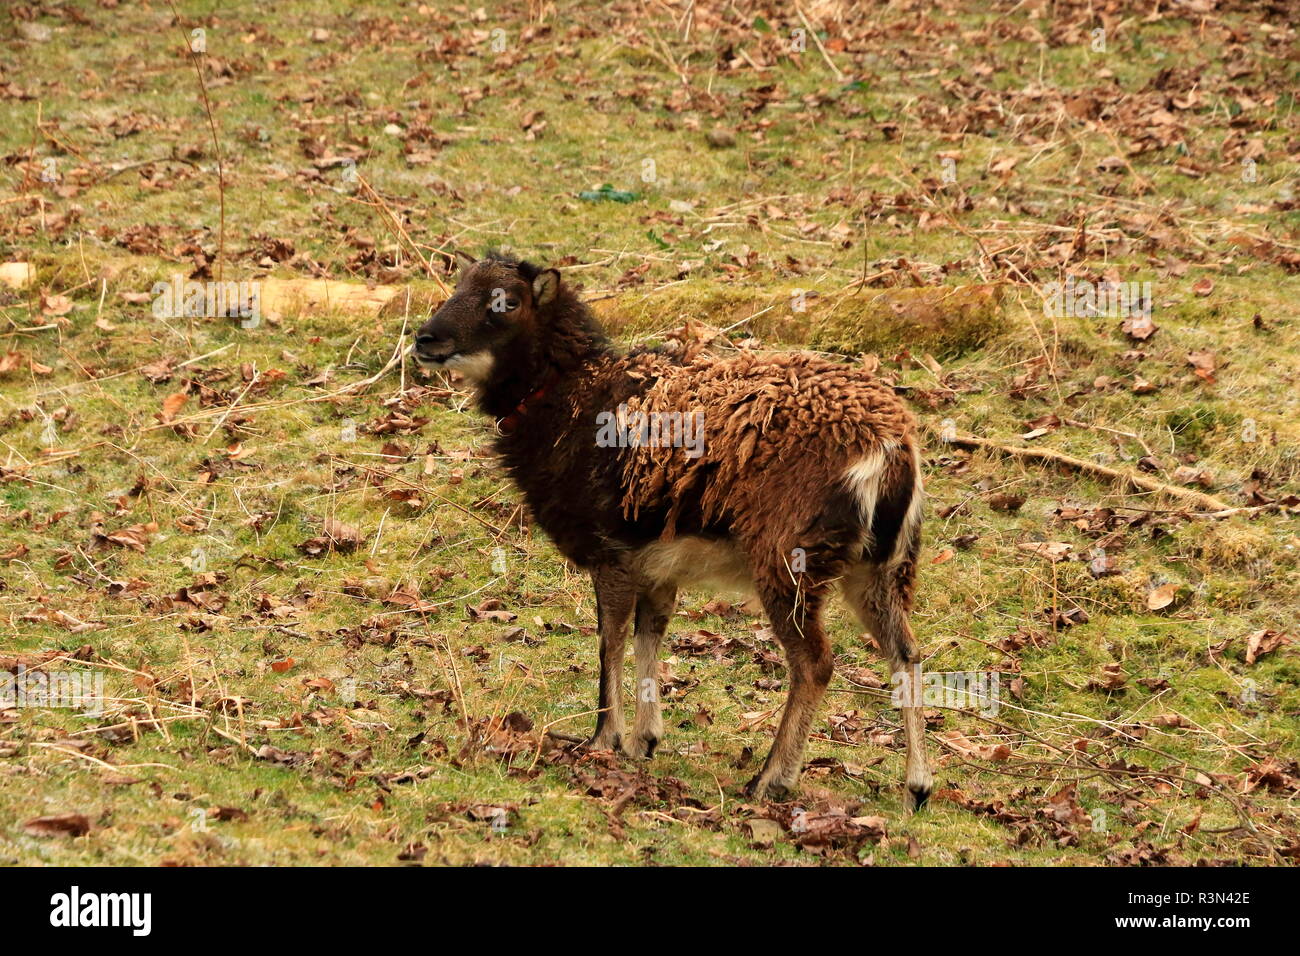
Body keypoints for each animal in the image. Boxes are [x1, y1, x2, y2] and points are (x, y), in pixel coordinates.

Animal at [411, 252, 931, 809]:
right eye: (459, 285)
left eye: (504, 302)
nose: (425, 339)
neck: (569, 405)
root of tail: (890, 449)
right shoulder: (658, 566)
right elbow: (649, 637)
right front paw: (645, 741)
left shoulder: (610, 554)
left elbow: (610, 641)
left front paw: (602, 740)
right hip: (884, 565)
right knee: (906, 651)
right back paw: (917, 788)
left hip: (789, 558)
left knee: (815, 662)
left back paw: (770, 779)